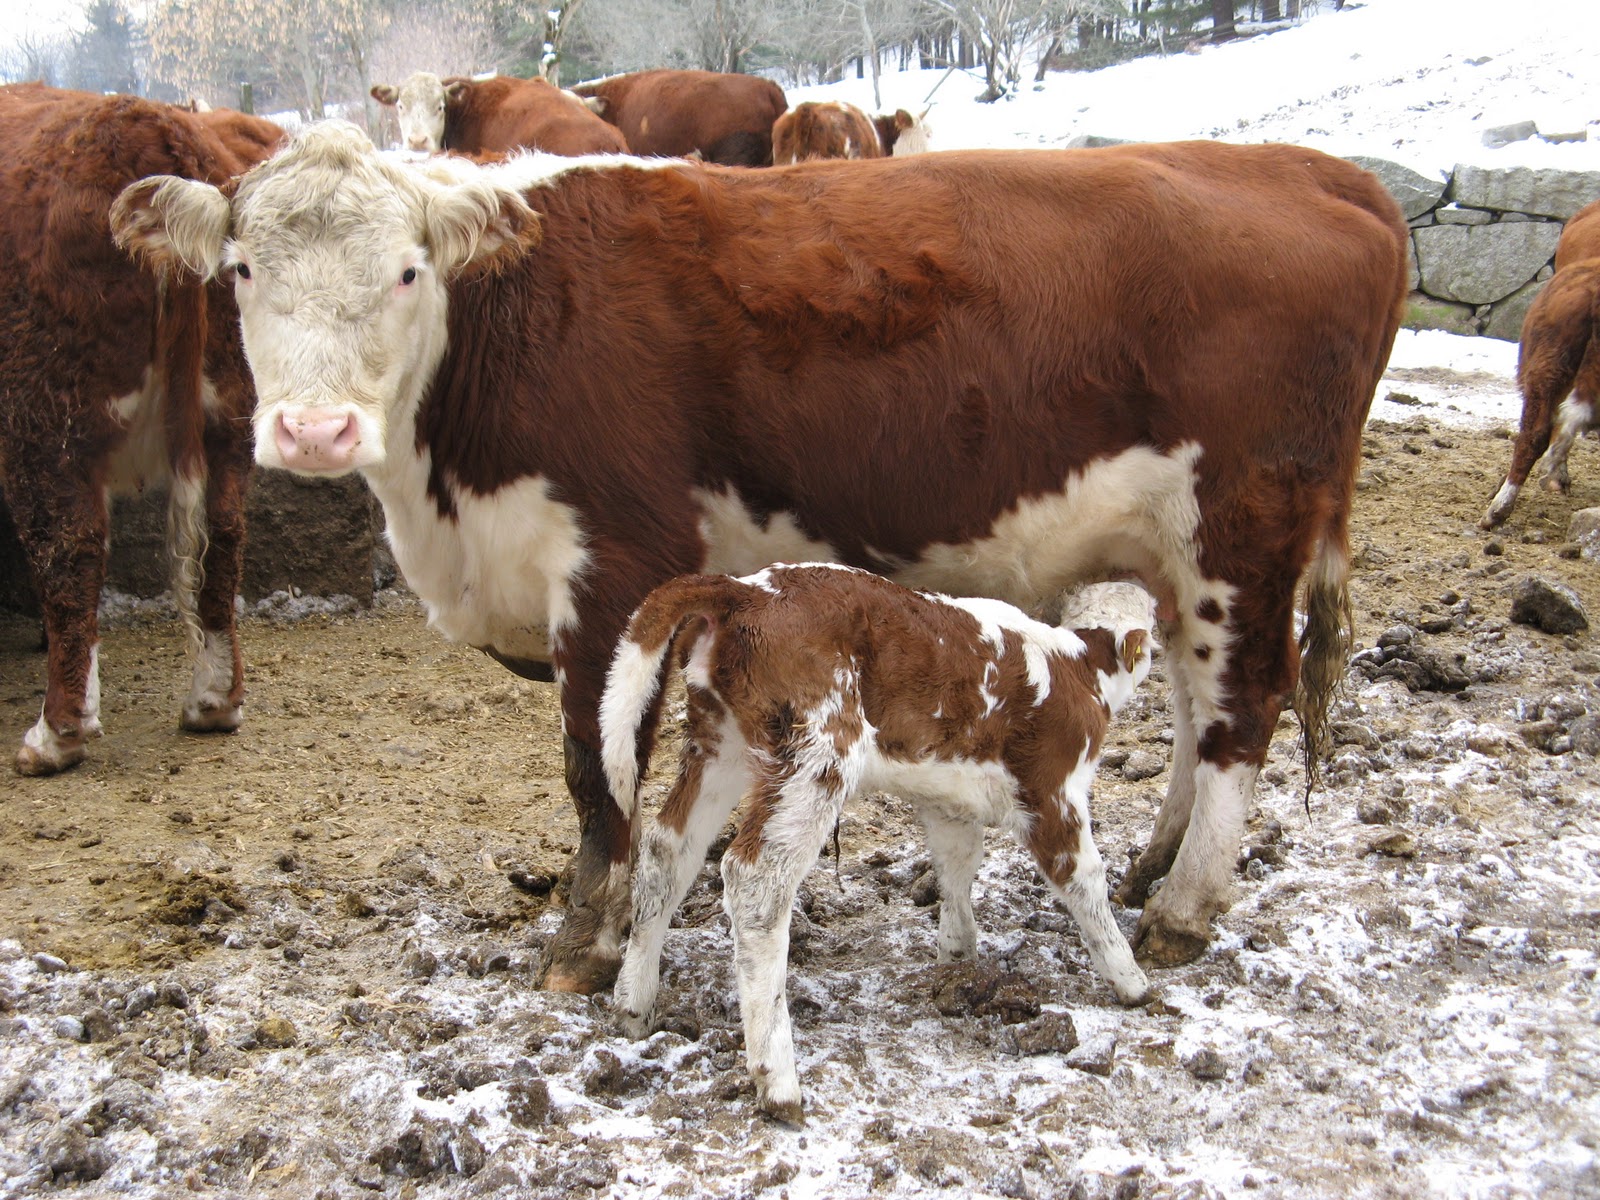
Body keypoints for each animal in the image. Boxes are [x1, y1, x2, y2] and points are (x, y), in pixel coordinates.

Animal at [1, 85, 278, 775]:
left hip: (44, 421)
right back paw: (213, 701)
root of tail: (145, 121)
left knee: (69, 549)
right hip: (228, 408)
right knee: (223, 535)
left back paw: (56, 735)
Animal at [111, 122, 1409, 994]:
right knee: (1196, 697)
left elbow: (596, 770)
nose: (313, 431)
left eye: (405, 269)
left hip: (1243, 521)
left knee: (1243, 707)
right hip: (1184, 552)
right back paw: (1150, 865)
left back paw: (1183, 907)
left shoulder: (614, 565)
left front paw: (583, 941)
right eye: (241, 271)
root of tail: (1312, 168)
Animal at [603, 567, 1157, 1123]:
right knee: (756, 880)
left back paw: (633, 1004)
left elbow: (957, 864)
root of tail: (746, 589)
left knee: (665, 852)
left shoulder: (951, 800)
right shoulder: (1054, 790)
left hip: (721, 744)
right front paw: (1129, 978)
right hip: (818, 750)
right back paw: (777, 1079)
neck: (1080, 664)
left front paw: (958, 957)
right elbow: (1084, 880)